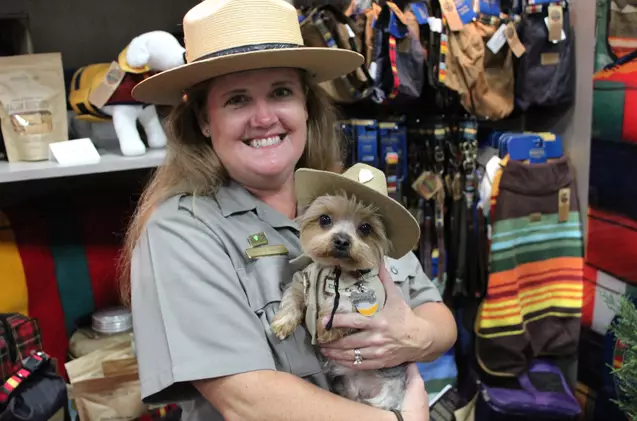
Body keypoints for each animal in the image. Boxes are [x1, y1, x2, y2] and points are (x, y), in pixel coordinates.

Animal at [270, 190, 404, 410]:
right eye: (325, 219)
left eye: (365, 228)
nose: (342, 240)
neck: (336, 269)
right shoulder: (302, 281)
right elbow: (292, 295)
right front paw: (284, 322)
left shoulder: (372, 297)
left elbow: (346, 304)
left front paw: (328, 325)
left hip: (387, 395)